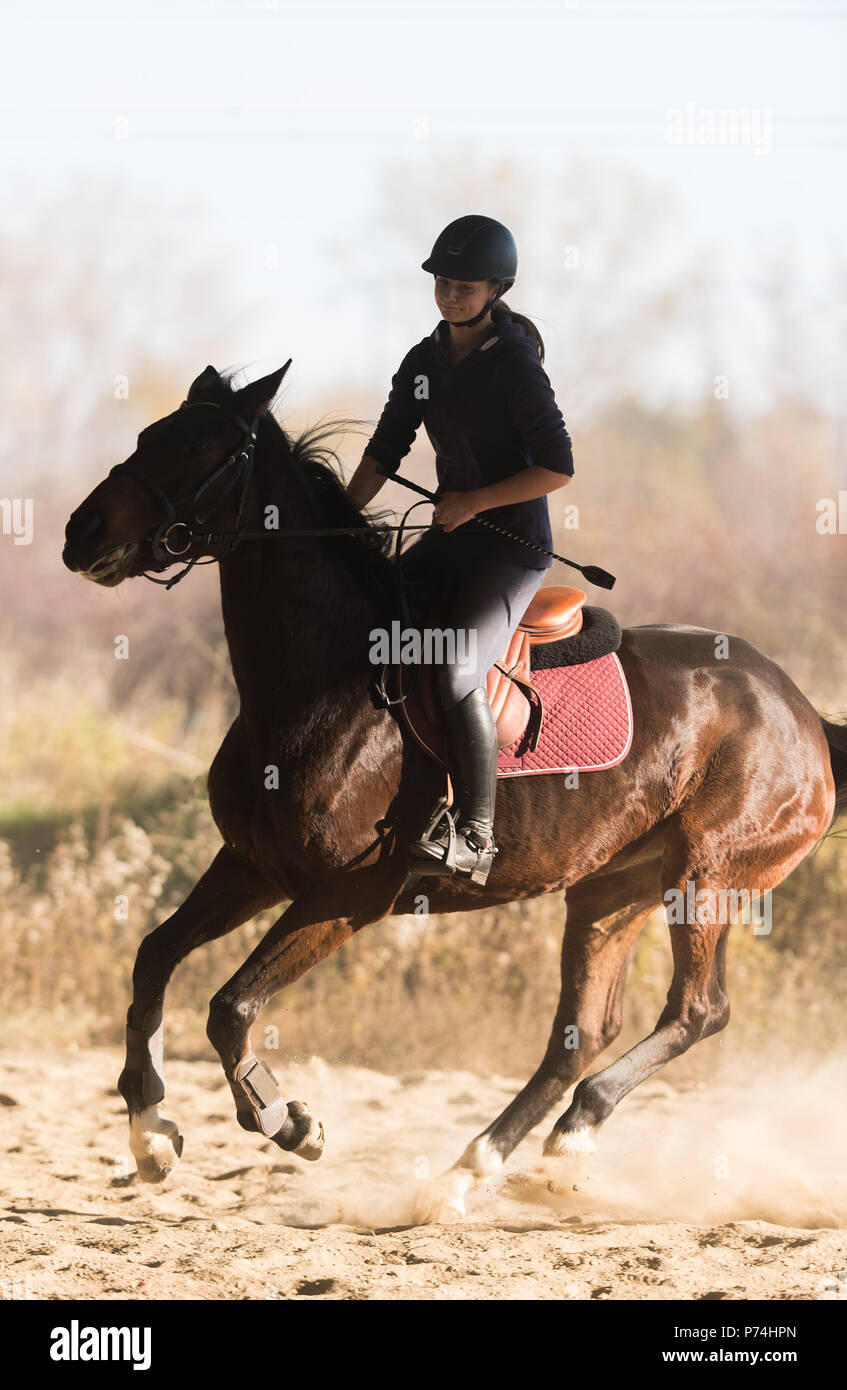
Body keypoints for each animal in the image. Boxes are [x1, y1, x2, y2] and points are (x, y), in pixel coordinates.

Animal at [62, 362, 847, 1222]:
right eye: (148, 436)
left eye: (201, 449)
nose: (80, 534)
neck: (317, 686)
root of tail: (800, 710)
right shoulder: (252, 865)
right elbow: (153, 960)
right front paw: (151, 1133)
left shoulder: (349, 895)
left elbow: (230, 1008)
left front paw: (289, 1122)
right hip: (612, 889)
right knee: (584, 1031)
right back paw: (481, 1168)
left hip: (709, 878)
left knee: (696, 1010)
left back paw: (542, 1146)